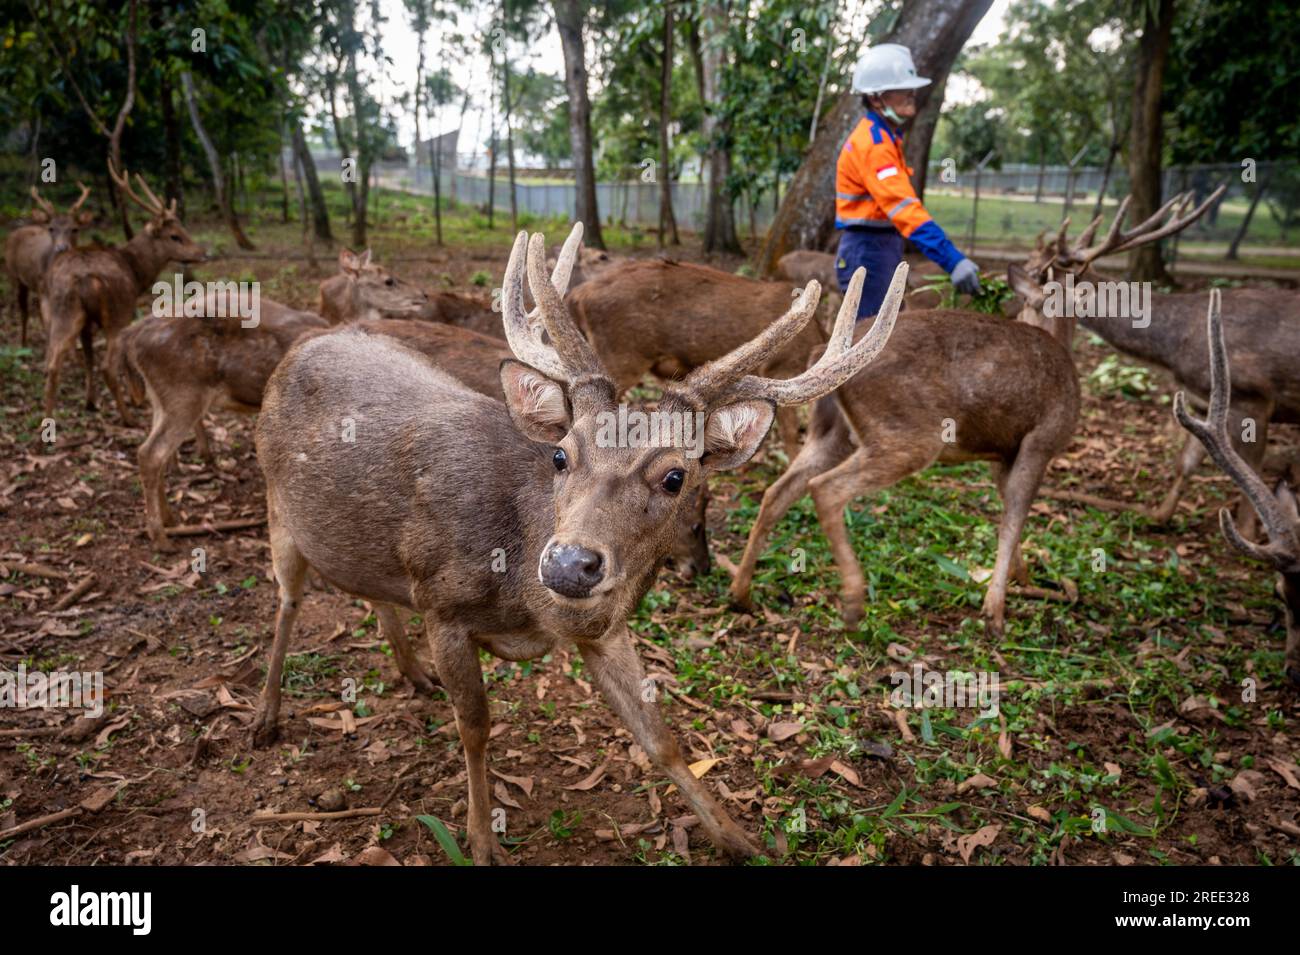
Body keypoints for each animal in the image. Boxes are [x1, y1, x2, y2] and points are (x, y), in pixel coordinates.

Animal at [4, 183, 92, 346]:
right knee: (24, 310)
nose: (62, 248)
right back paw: (23, 342)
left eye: (75, 229)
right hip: (14, 276)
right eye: (51, 228)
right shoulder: (43, 288)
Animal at [39, 162, 204, 424]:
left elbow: (88, 357)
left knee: (53, 363)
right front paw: (134, 400)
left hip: (62, 309)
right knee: (107, 366)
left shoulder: (86, 323)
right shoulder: (128, 308)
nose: (202, 252)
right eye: (175, 236)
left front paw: (90, 402)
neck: (136, 272)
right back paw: (128, 418)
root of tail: (85, 278)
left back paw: (46, 423)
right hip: (117, 312)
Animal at [249, 222, 899, 864]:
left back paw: (412, 673)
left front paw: (739, 838)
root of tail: (303, 344)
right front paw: (481, 841)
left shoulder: (606, 629)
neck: (527, 601)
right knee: (287, 601)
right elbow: (475, 727)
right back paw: (265, 717)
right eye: (561, 455)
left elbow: (659, 736)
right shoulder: (442, 603)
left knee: (369, 588)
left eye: (675, 477)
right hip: (277, 505)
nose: (568, 563)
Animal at [1003, 185, 1298, 538]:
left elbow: (1251, 484)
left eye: (1034, 271)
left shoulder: (1252, 398)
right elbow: (1185, 466)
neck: (1176, 347)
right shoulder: (1201, 403)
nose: (1007, 307)